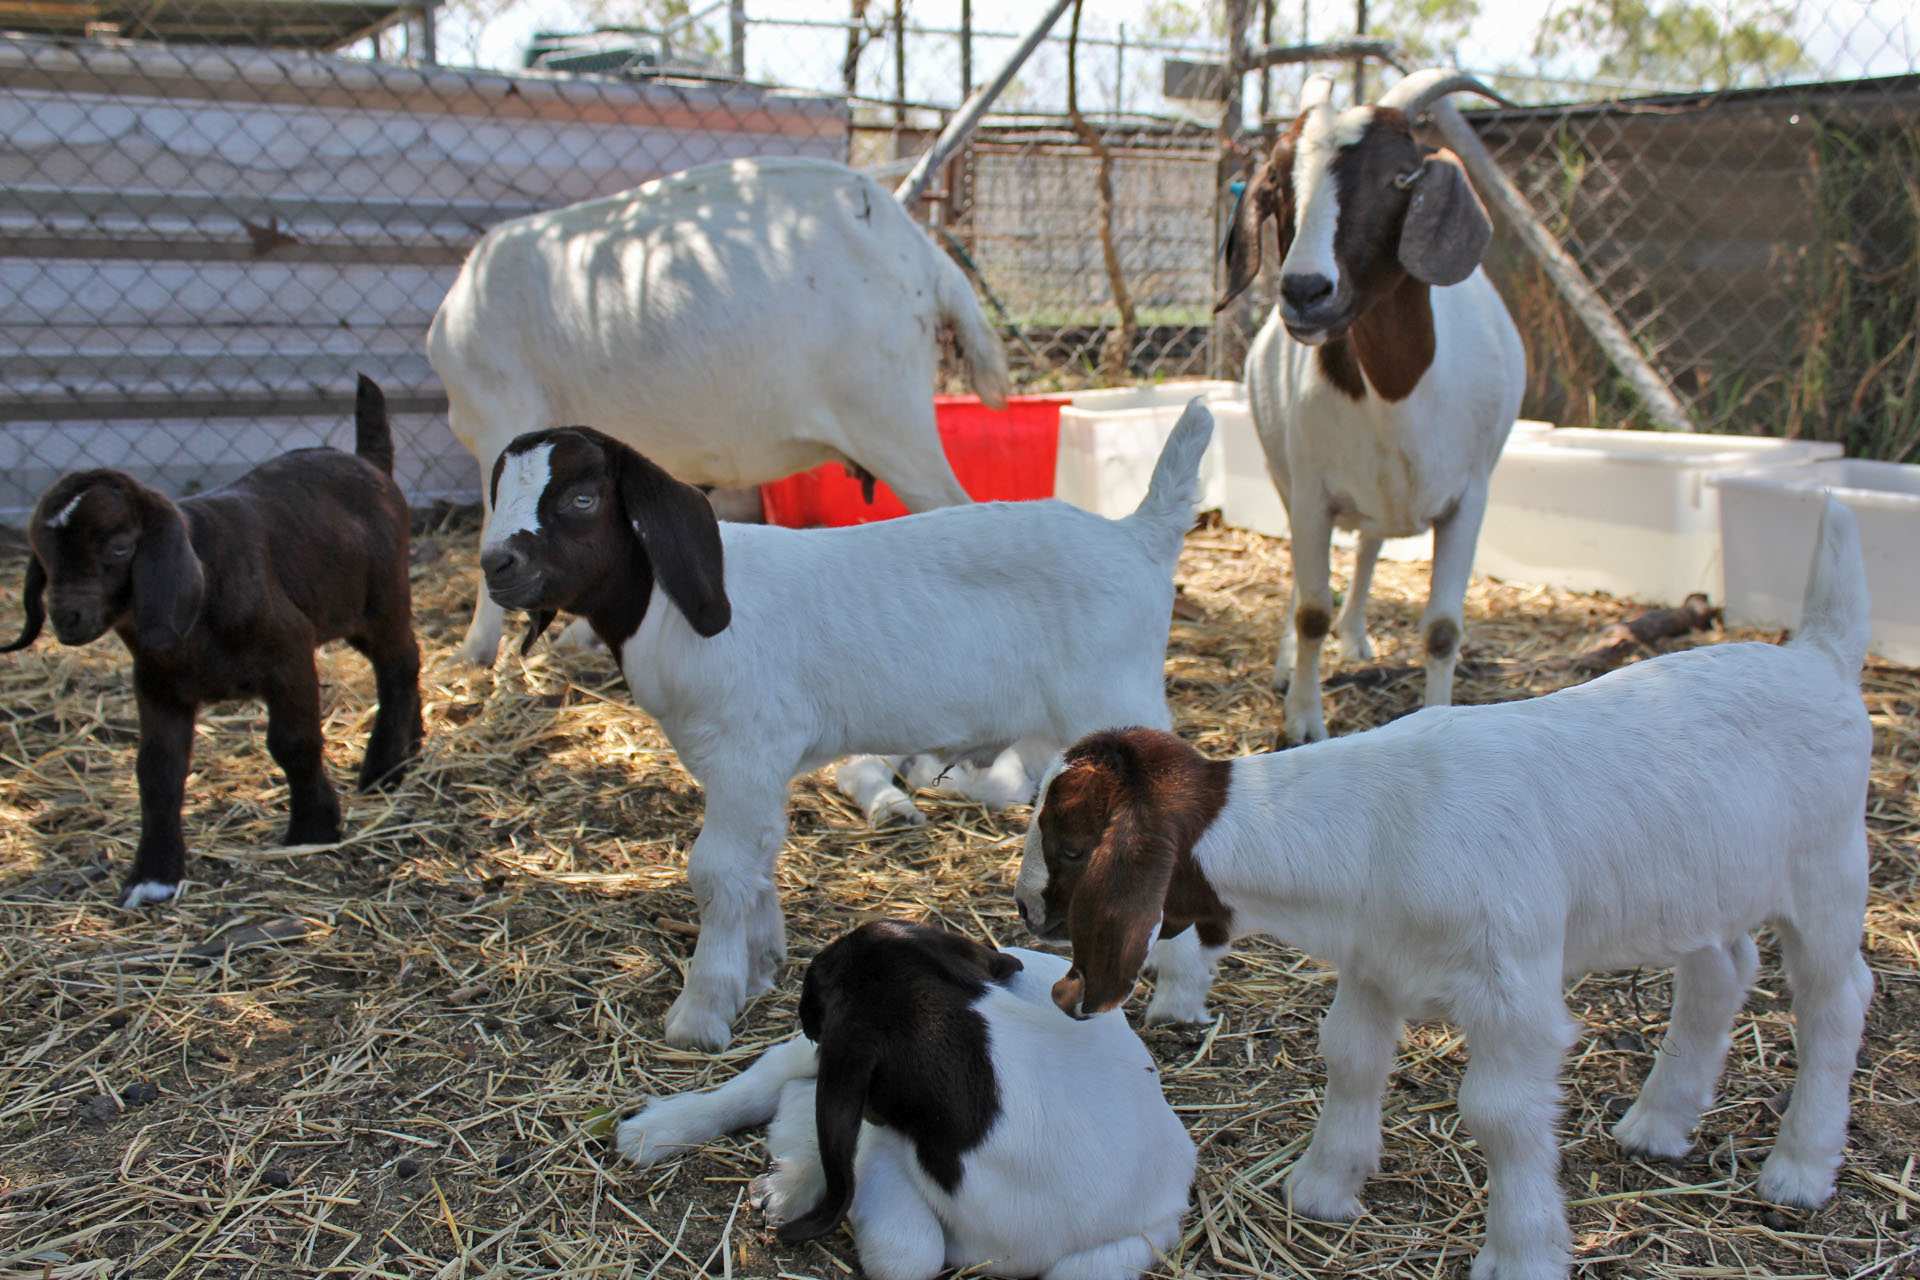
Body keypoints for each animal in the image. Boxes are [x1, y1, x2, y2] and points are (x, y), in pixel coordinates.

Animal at [2, 377, 423, 908]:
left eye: (119, 548)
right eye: (43, 556)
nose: (66, 619)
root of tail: (369, 463)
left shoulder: (289, 653)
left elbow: (293, 742)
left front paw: (313, 827)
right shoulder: (159, 686)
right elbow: (156, 771)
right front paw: (154, 876)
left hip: (382, 598)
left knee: (398, 664)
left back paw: (385, 767)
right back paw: (412, 743)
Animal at [475, 400, 1214, 1049]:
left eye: (582, 499)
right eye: (498, 490)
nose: (495, 564)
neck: (668, 608)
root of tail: (1138, 536)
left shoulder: (745, 751)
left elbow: (716, 871)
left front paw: (700, 1013)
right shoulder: (751, 765)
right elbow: (757, 860)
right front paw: (758, 967)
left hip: (1115, 702)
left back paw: (1178, 1000)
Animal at [1016, 499, 1874, 1280]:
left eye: (1071, 844)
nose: (1026, 907)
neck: (1382, 822)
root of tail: (1820, 658)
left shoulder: (1511, 995)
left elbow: (1498, 1113)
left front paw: (1521, 1255)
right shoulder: (1374, 962)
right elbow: (1350, 1057)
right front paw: (1324, 1188)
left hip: (1828, 872)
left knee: (1835, 999)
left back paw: (1800, 1168)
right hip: (1703, 883)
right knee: (1720, 973)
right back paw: (1658, 1124)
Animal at [1216, 69, 1526, 744]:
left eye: (1398, 179)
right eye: (1277, 183)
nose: (1305, 291)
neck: (1395, 392)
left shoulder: (1470, 497)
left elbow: (1442, 630)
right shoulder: (1312, 490)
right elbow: (1310, 609)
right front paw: (1302, 720)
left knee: (1368, 547)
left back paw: (1356, 637)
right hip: (1285, 473)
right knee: (1311, 576)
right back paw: (1294, 662)